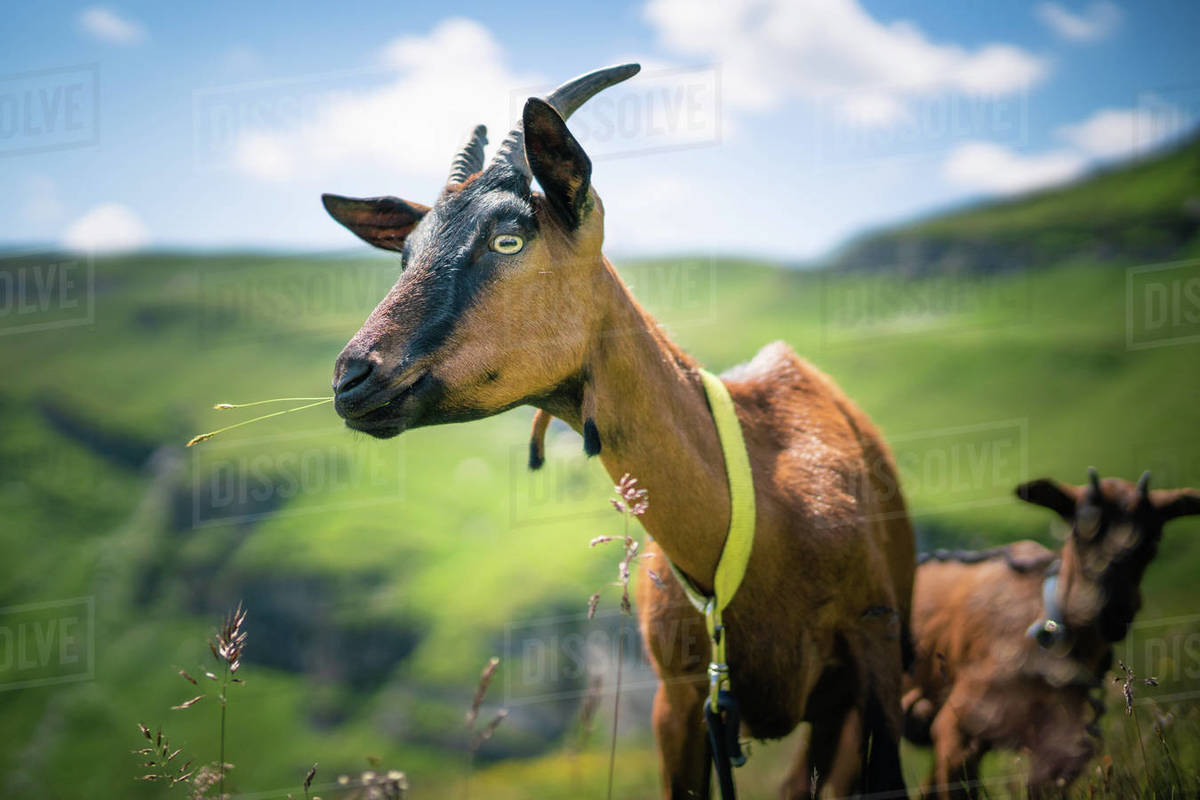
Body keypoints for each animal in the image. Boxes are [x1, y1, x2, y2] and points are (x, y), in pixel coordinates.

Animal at [322, 64, 916, 798]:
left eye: (508, 238)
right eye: (405, 251)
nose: (352, 377)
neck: (764, 509)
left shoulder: (873, 660)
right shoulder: (682, 697)